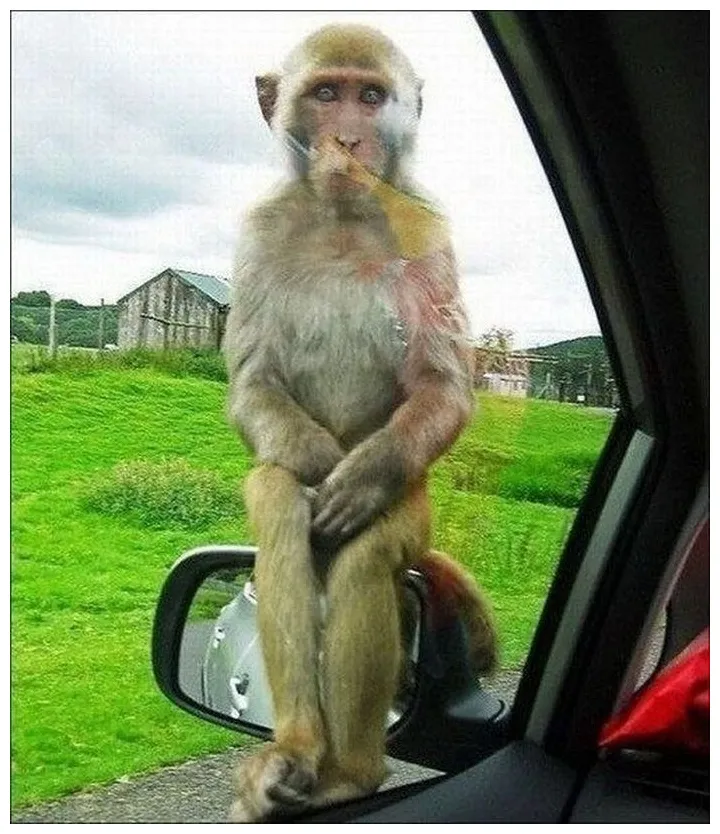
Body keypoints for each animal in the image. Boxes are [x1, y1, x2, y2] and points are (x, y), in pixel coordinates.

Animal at [222, 23, 497, 822]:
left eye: (370, 96)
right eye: (326, 93)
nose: (347, 138)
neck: (343, 217)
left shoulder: (428, 225)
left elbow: (442, 386)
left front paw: (358, 479)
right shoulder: (257, 229)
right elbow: (254, 381)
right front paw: (320, 466)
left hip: (418, 513)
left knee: (371, 550)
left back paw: (350, 772)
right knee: (277, 497)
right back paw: (297, 748)